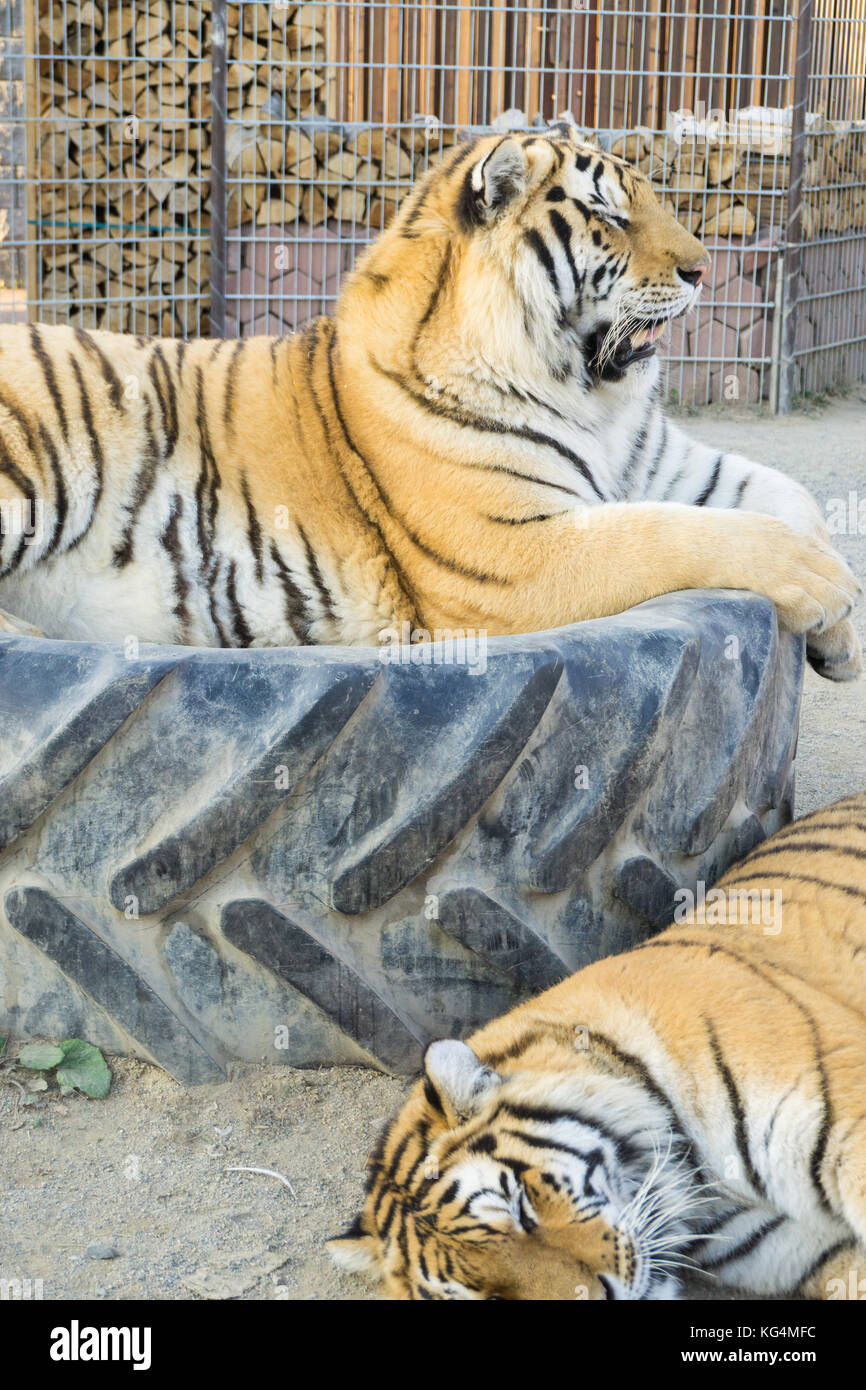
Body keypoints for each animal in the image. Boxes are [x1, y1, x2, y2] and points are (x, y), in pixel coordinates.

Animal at [0, 125, 860, 676]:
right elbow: (672, 533)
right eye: (609, 215)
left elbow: (787, 499)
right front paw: (823, 584)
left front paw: (841, 636)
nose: (704, 269)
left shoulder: (672, 469)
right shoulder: (510, 553)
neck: (596, 398)